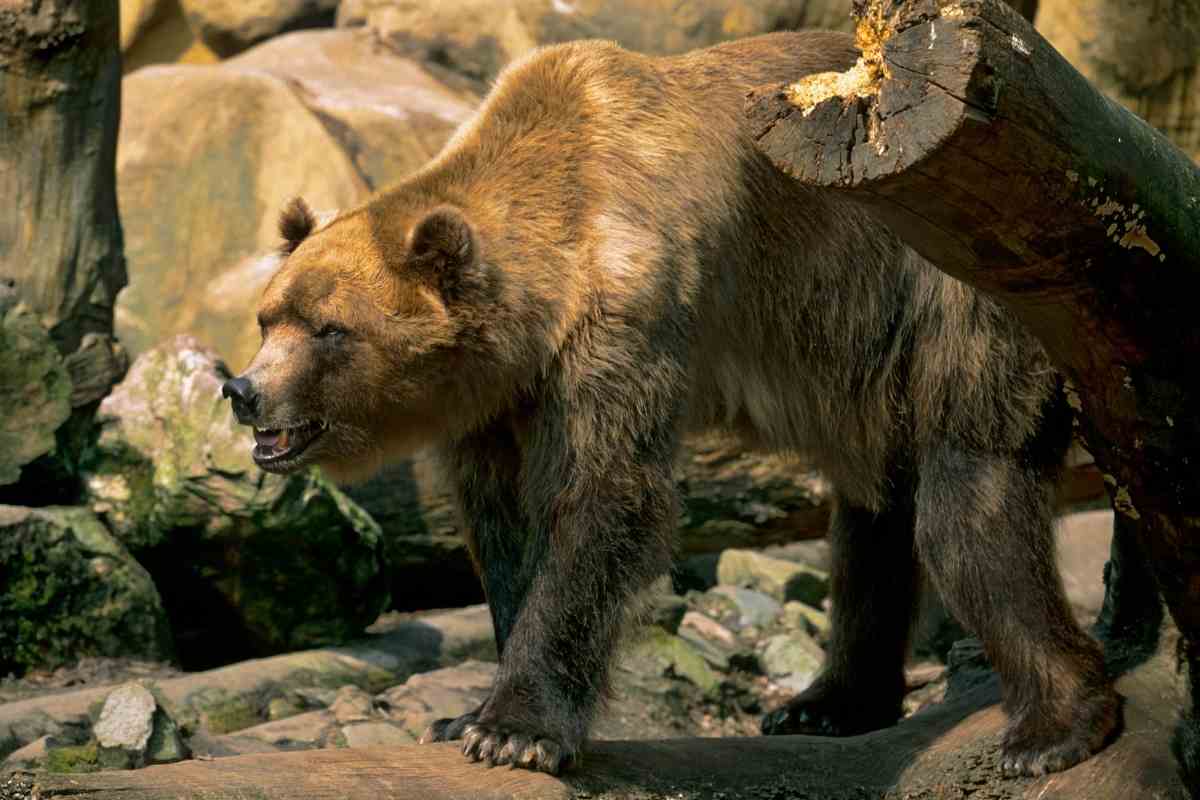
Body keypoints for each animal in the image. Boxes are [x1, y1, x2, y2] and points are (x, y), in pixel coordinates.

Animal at [222, 29, 1120, 777]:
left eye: (329, 330)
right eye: (269, 316)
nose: (242, 390)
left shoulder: (628, 309)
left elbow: (603, 495)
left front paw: (514, 728)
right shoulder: (493, 403)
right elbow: (504, 531)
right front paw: (467, 715)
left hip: (953, 290)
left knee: (971, 493)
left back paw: (1053, 726)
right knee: (875, 511)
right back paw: (828, 703)